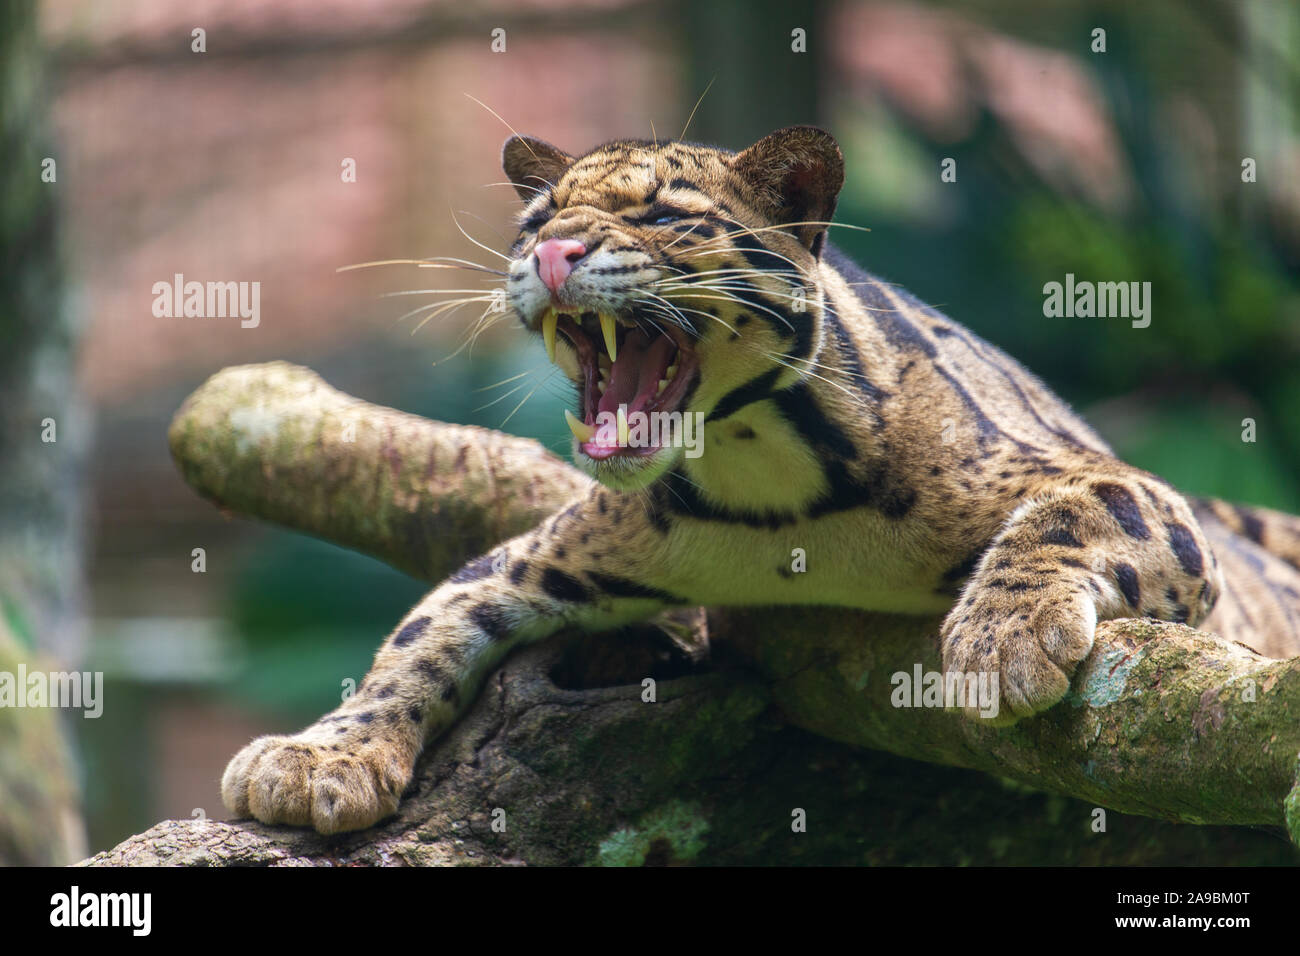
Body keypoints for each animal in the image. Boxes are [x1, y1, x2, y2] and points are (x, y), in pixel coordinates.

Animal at [221, 126, 1300, 834]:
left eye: (661, 214)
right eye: (534, 218)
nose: (552, 252)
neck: (761, 471)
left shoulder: (1123, 487)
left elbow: (1072, 511)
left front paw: (1001, 636)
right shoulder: (546, 554)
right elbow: (420, 633)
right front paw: (321, 753)